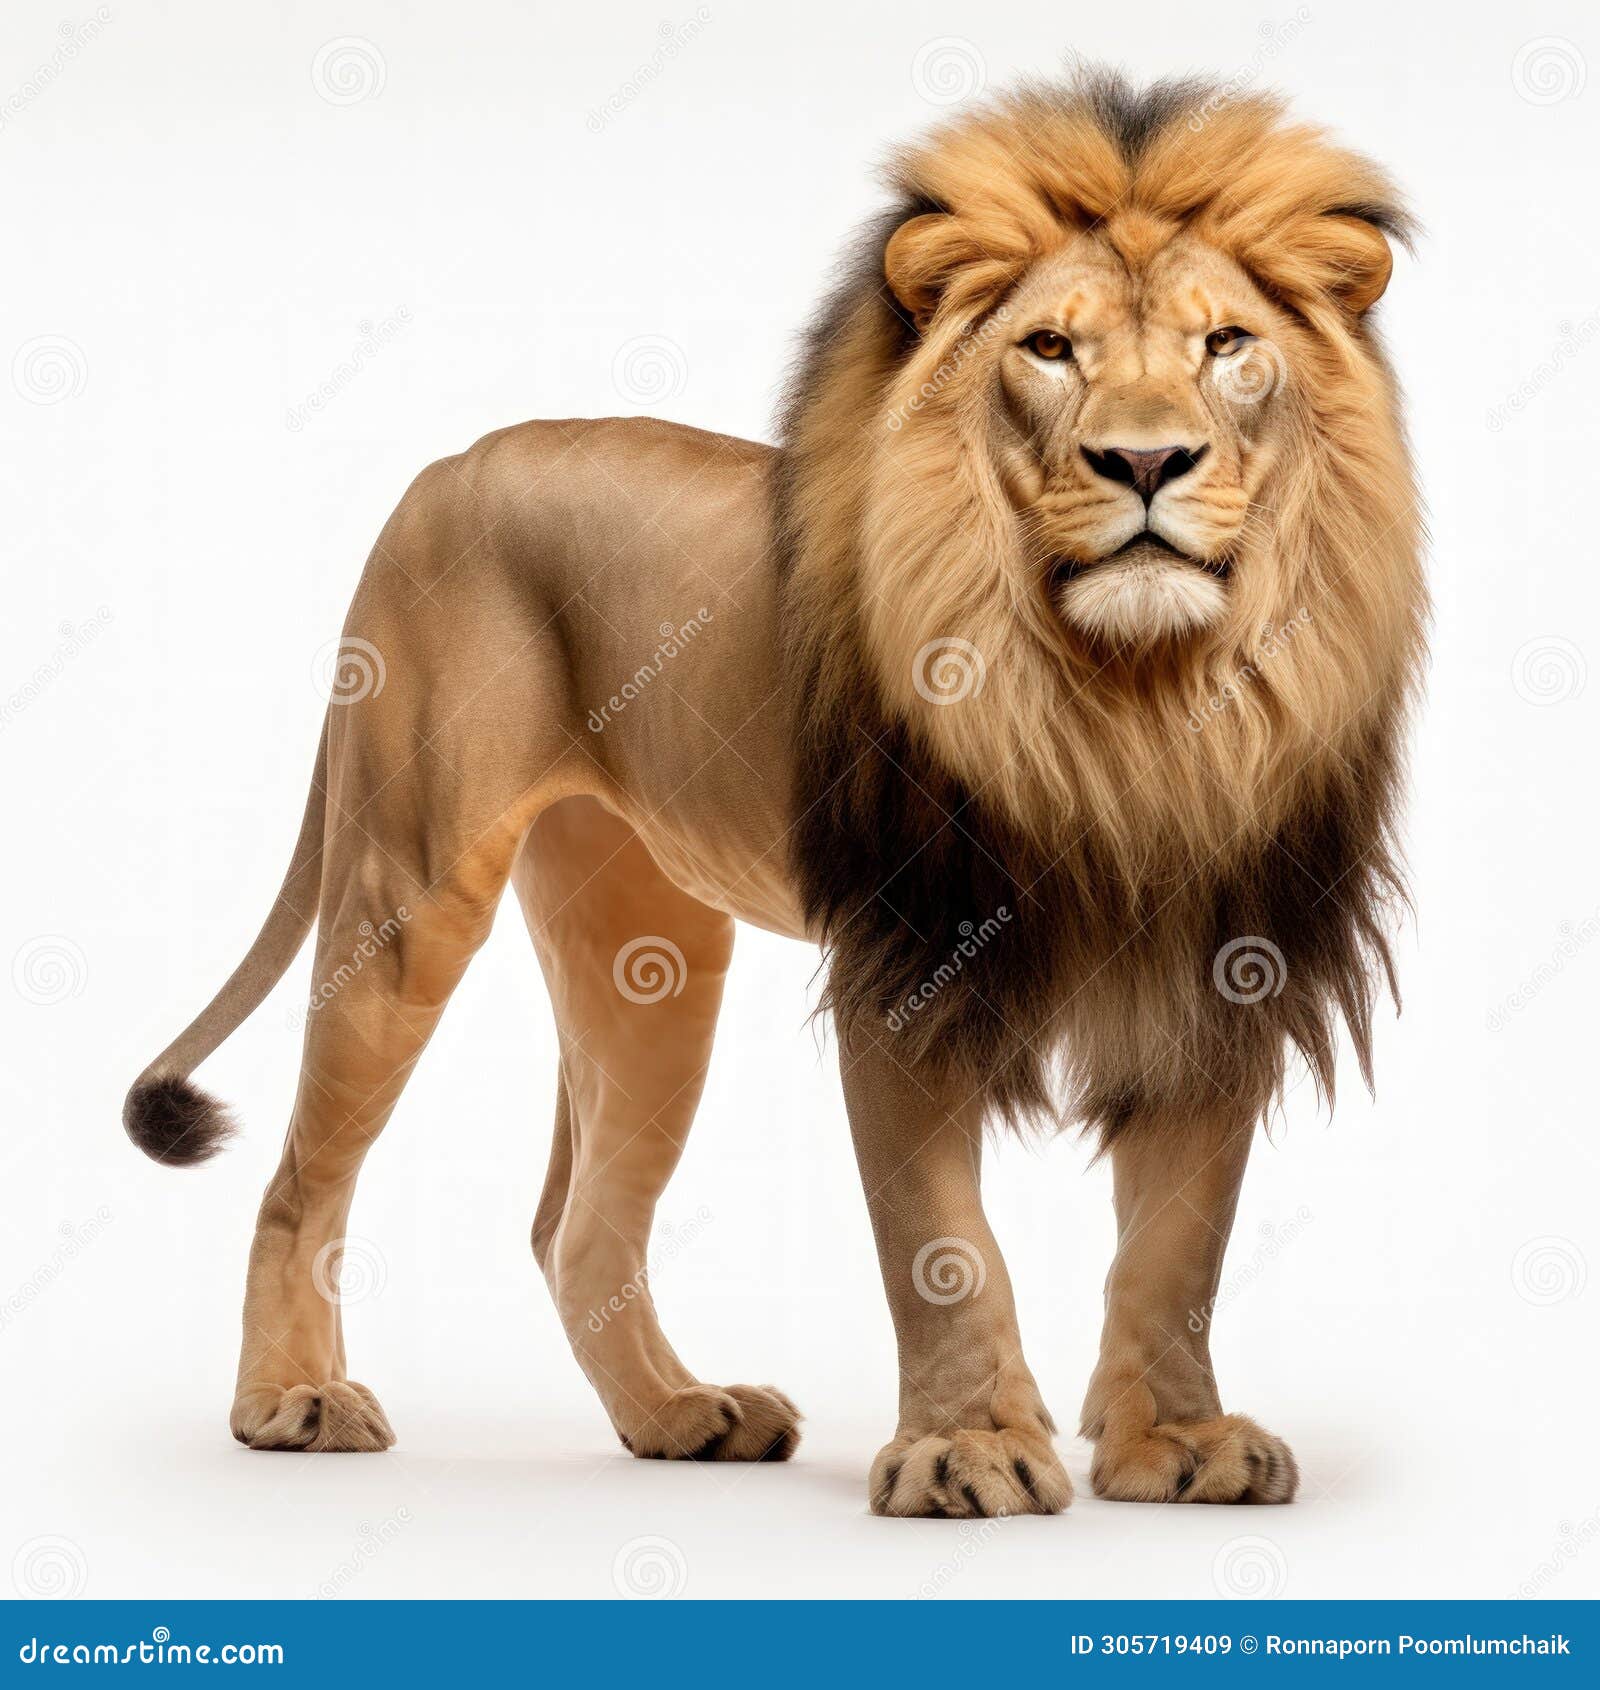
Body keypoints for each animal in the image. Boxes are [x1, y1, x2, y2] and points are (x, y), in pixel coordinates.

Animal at [123, 69, 1424, 1517]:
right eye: (1048, 349)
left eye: (1226, 344)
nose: (1148, 463)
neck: (1129, 698)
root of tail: (446, 466)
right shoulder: (909, 959)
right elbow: (942, 1241)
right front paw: (968, 1447)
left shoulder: (1224, 960)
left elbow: (1180, 1241)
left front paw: (1176, 1442)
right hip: (408, 887)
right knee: (300, 1179)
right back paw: (289, 1401)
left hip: (646, 952)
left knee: (575, 1221)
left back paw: (679, 1413)